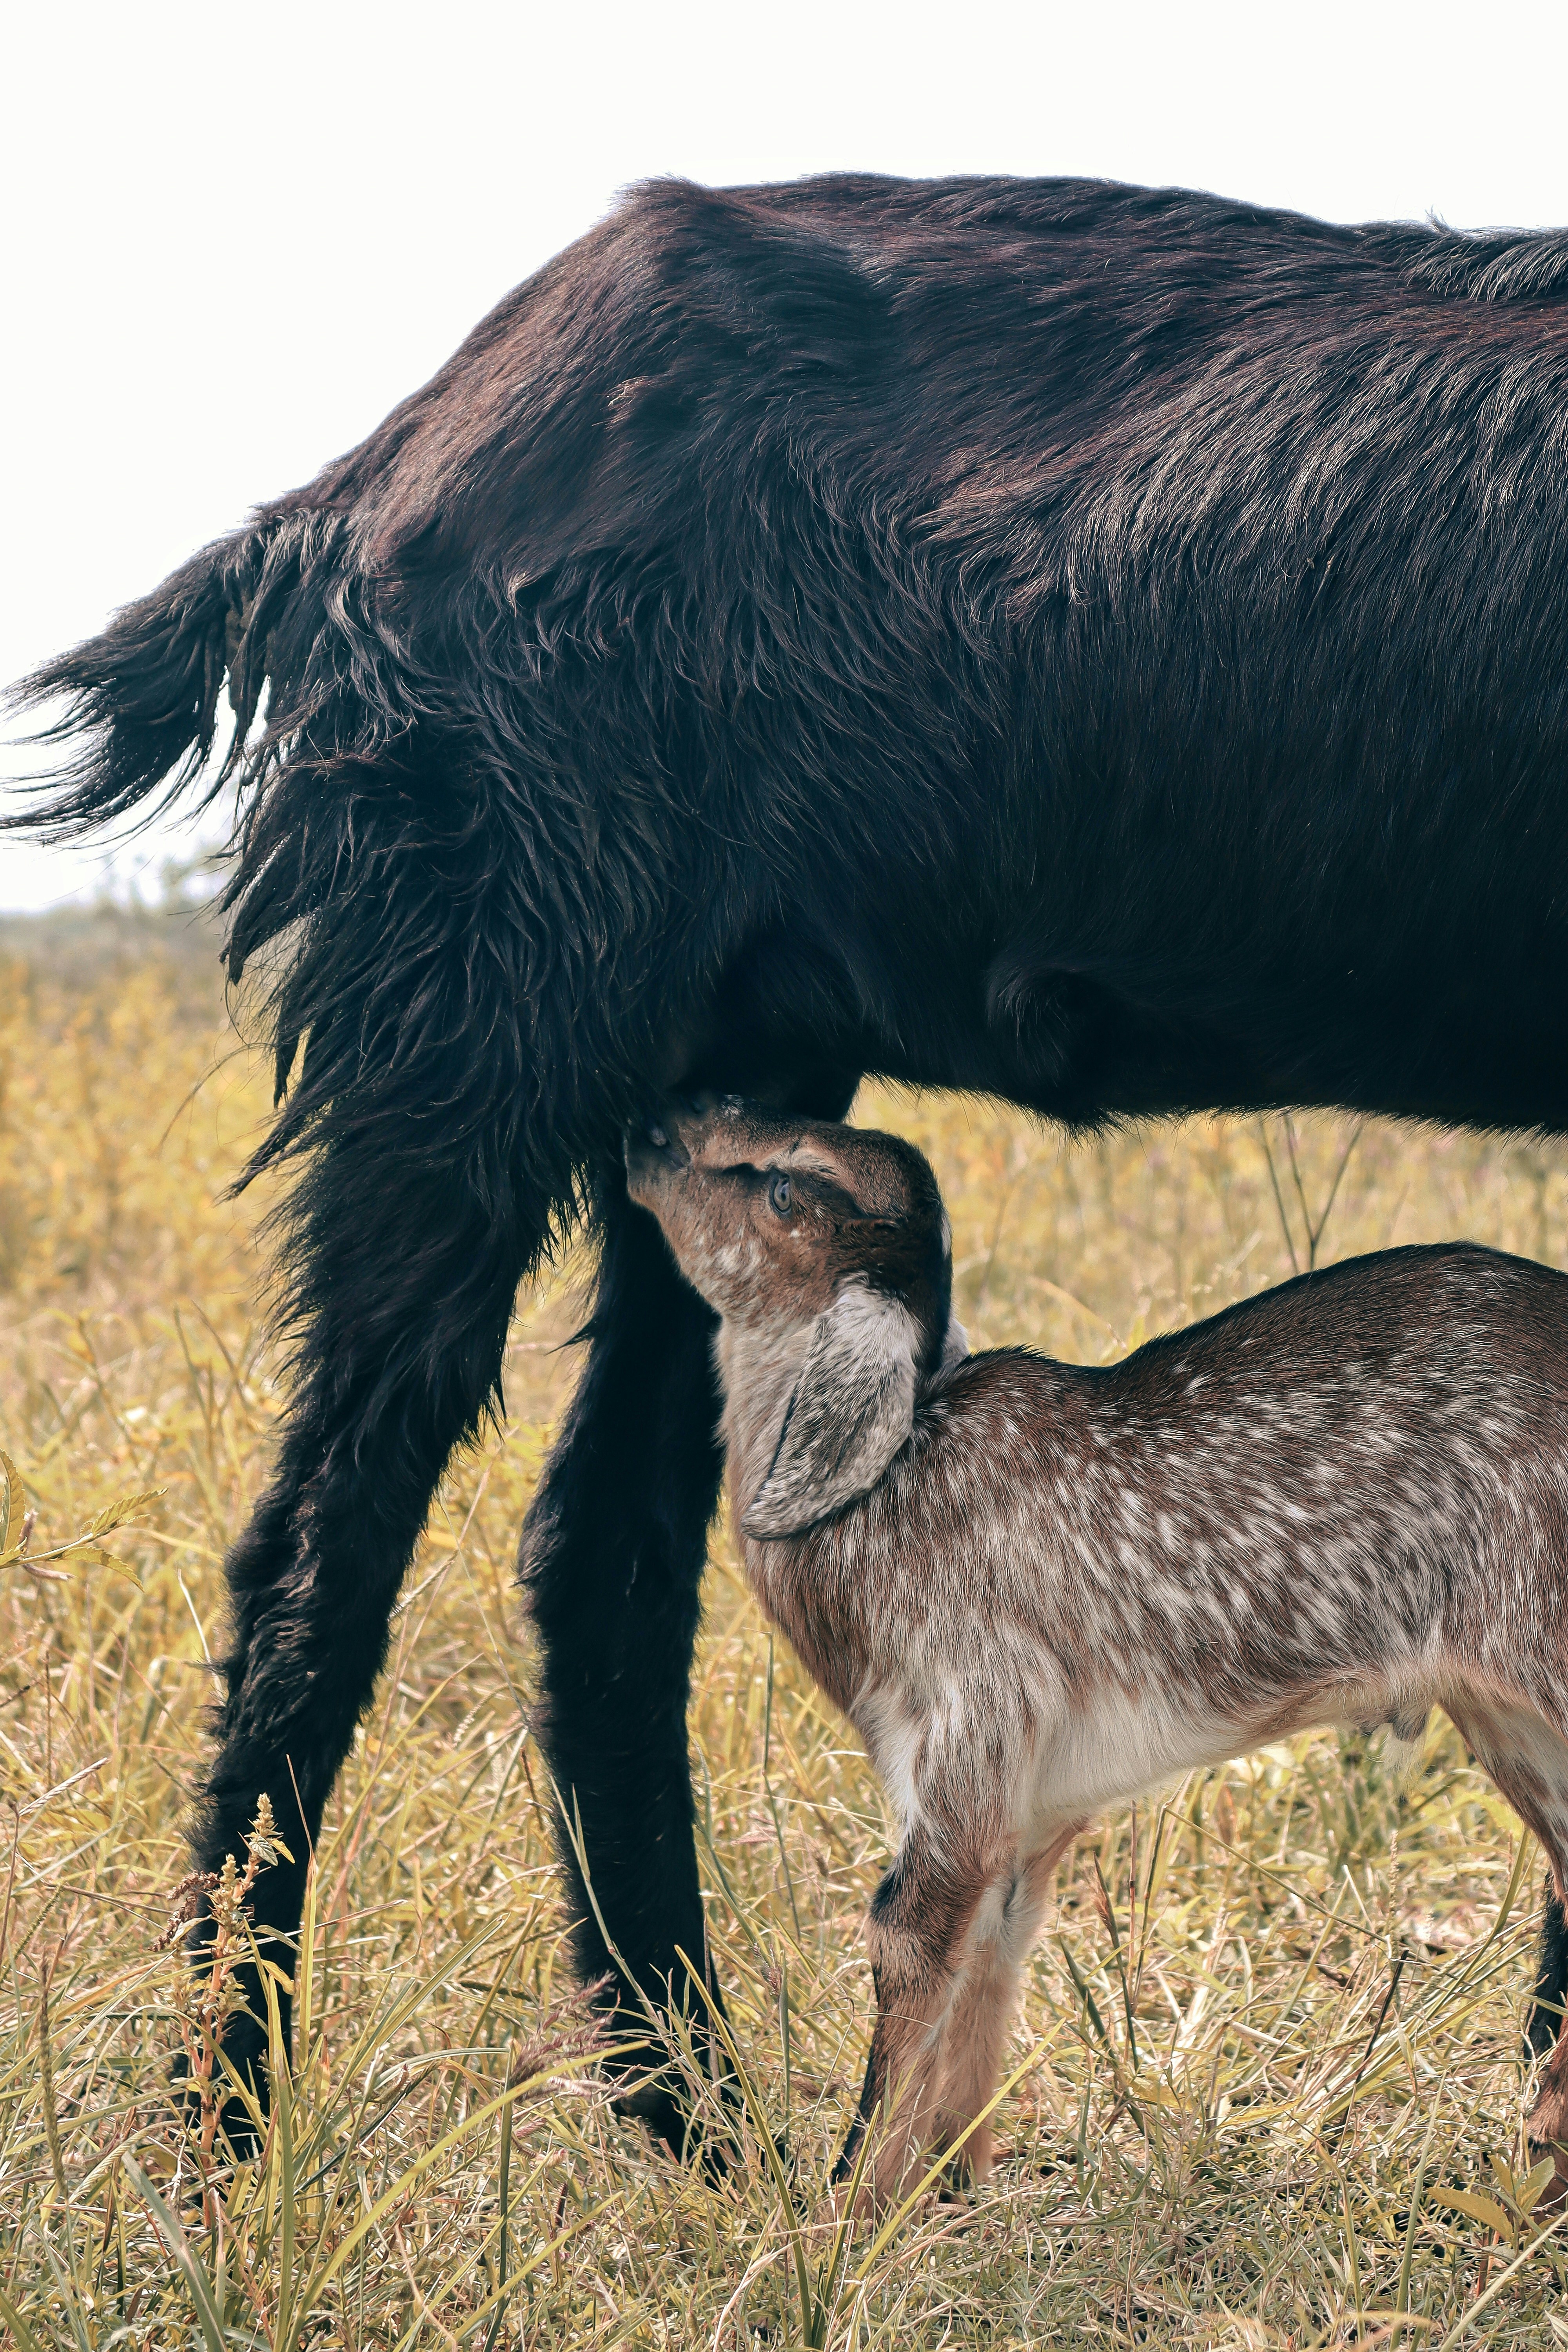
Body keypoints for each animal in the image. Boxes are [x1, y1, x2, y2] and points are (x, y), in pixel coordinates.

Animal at [628, 1096, 1568, 2210]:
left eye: (781, 1186)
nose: (648, 1131)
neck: (892, 1481)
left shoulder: (961, 1750)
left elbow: (903, 1957)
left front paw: (845, 2227)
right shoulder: (1024, 1822)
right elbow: (986, 1979)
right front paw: (953, 2201)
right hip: (1513, 1724)